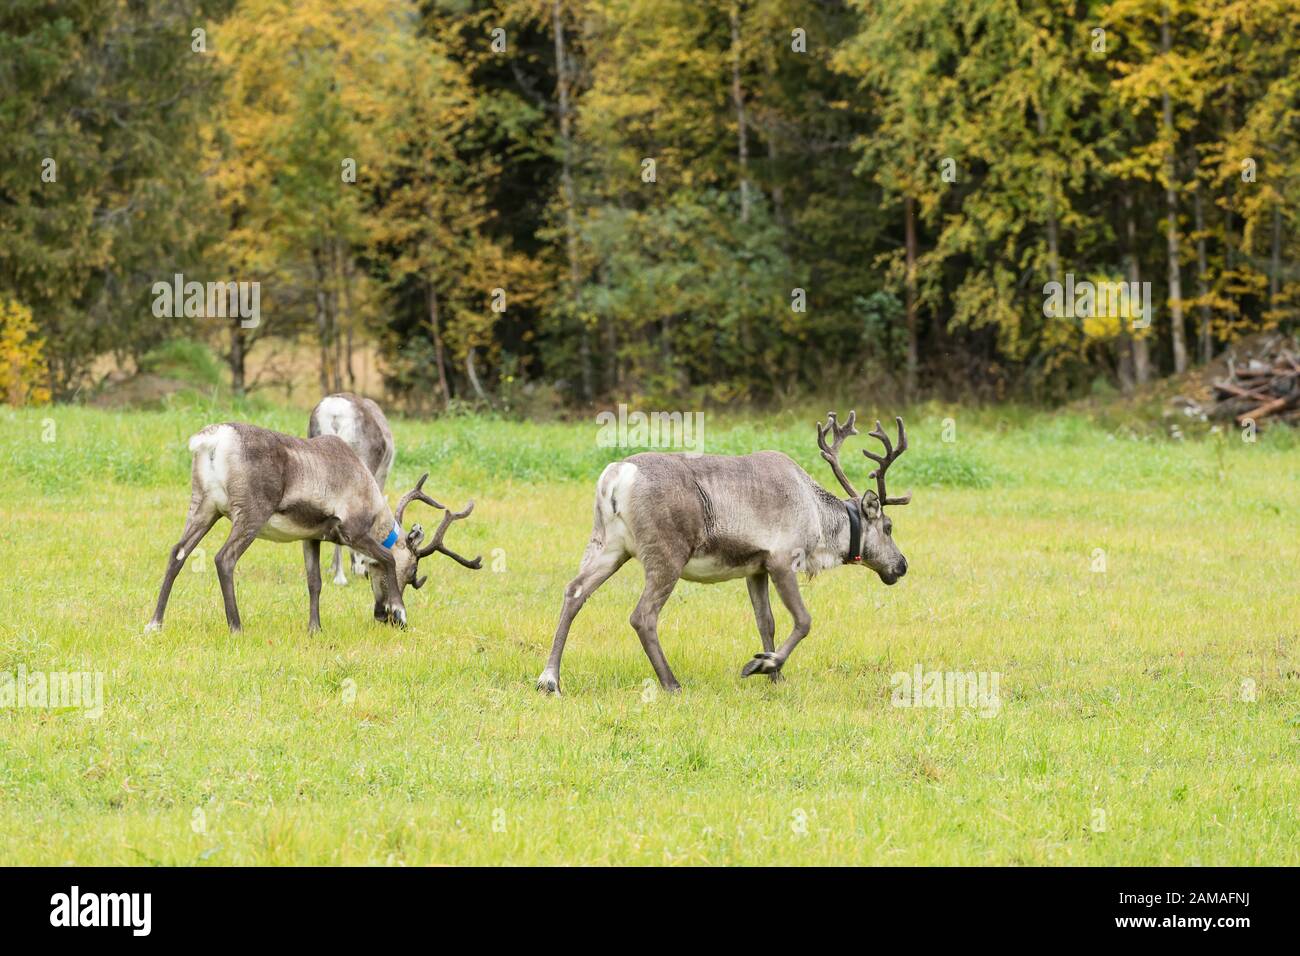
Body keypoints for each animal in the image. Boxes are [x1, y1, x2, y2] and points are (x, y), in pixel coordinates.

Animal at [144, 422, 481, 634]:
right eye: (412, 574)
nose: (380, 615)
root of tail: (211, 441)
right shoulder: (353, 531)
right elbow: (385, 557)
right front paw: (400, 612)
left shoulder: (311, 538)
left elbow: (314, 582)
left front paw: (315, 628)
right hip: (250, 513)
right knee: (223, 558)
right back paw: (236, 627)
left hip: (204, 506)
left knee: (177, 553)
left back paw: (155, 623)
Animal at [536, 411, 910, 695]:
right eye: (889, 526)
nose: (902, 565)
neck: (819, 518)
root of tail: (616, 476)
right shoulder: (782, 558)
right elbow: (803, 621)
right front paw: (763, 664)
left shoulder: (756, 567)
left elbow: (766, 622)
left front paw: (776, 677)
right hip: (667, 554)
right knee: (642, 615)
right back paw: (671, 683)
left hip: (608, 544)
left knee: (575, 591)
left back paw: (549, 679)